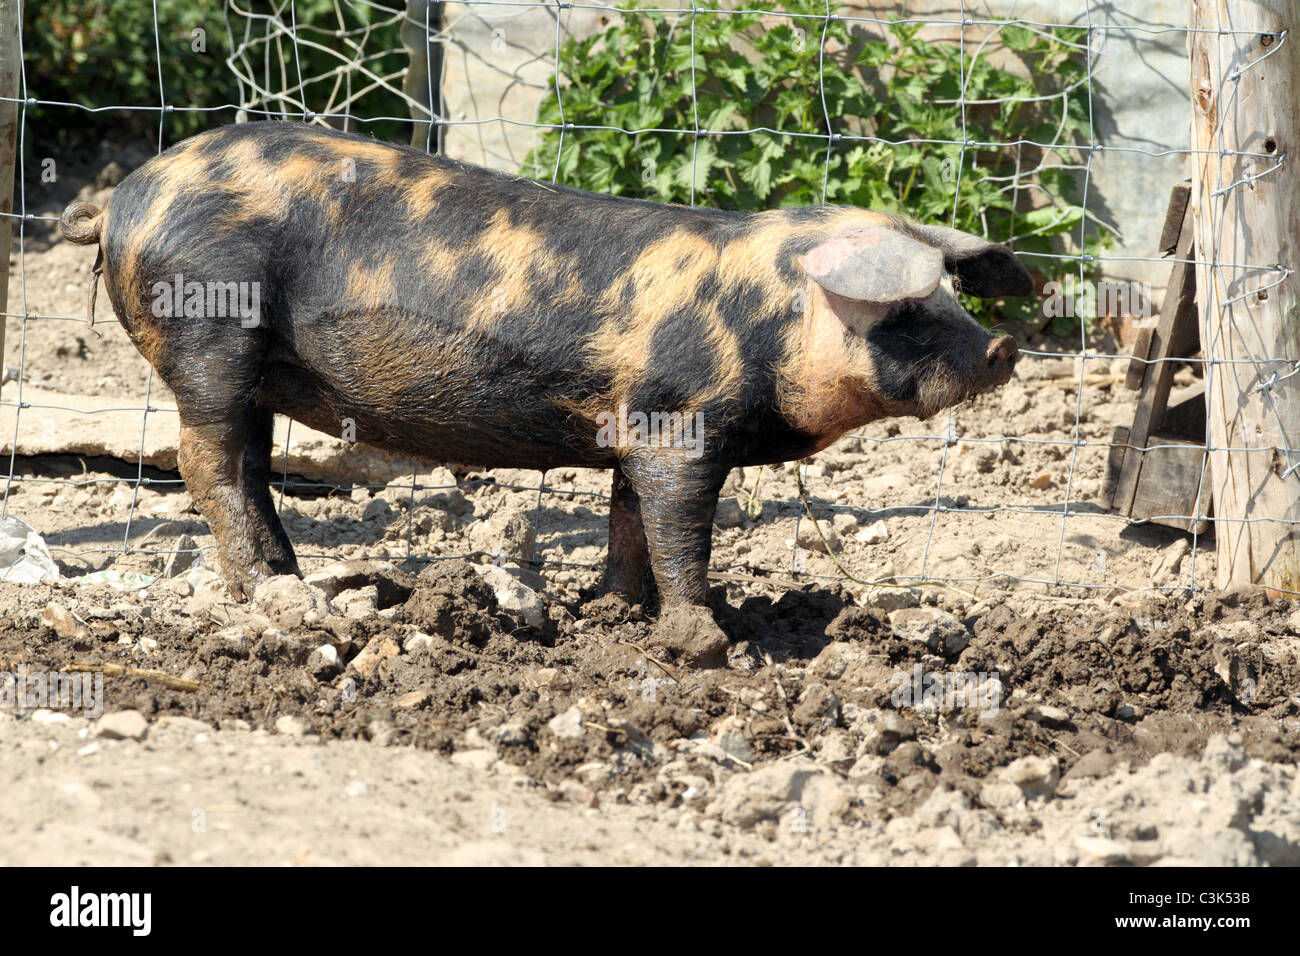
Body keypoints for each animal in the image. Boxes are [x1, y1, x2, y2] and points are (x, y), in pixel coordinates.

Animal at [60, 121, 1031, 611]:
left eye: (951, 294)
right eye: (903, 312)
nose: (1002, 347)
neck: (757, 316)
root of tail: (126, 198)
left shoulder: (637, 424)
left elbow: (631, 518)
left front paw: (614, 611)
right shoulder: (682, 425)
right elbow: (685, 530)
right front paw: (704, 635)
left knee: (250, 465)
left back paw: (295, 575)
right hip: (209, 333)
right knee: (208, 459)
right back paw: (273, 595)